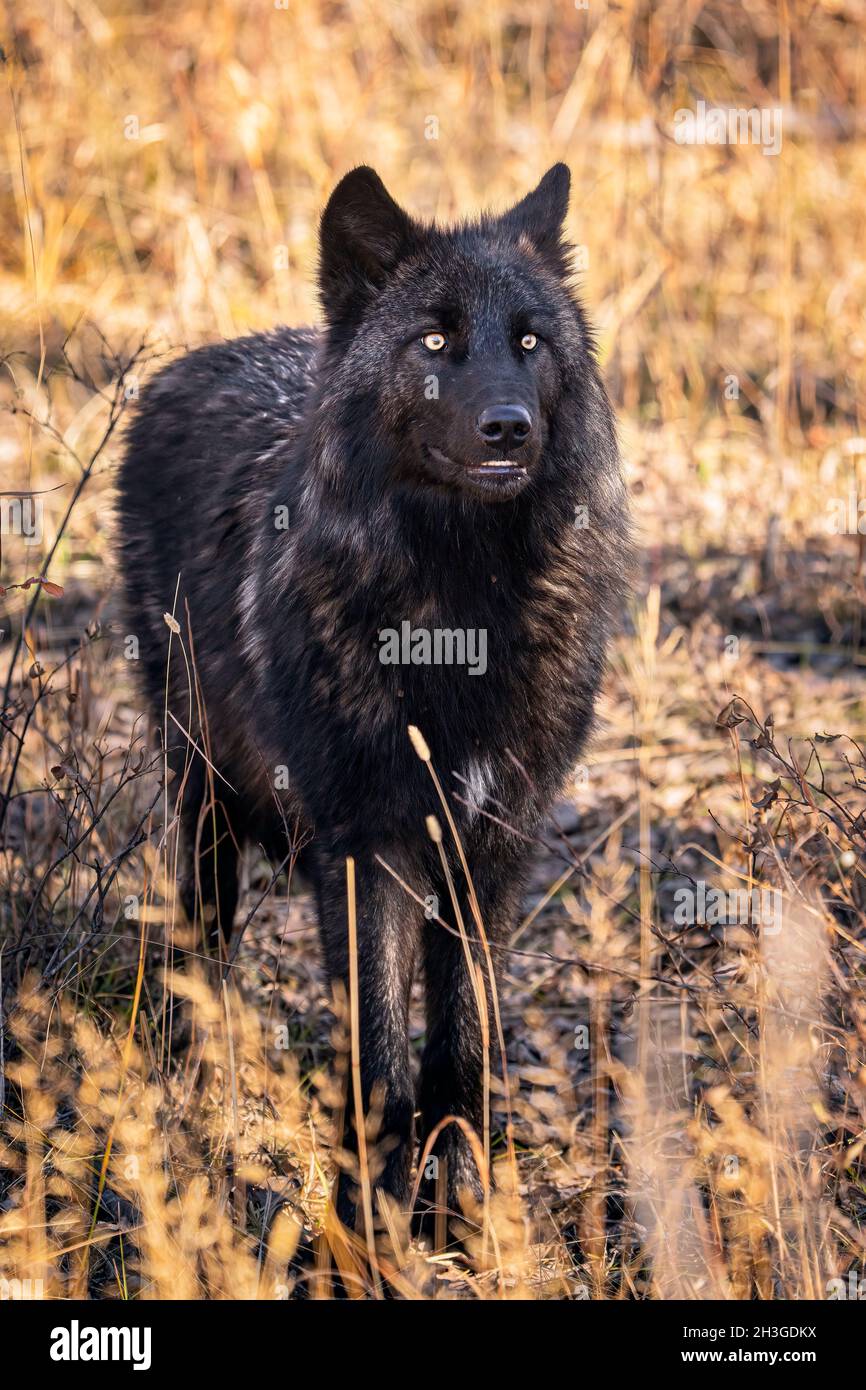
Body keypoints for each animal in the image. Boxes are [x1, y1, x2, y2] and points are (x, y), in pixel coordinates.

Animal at [117, 164, 630, 1227]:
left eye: (530, 341)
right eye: (434, 341)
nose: (508, 426)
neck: (459, 609)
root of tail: (193, 363)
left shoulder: (493, 845)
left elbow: (462, 1046)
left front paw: (461, 1213)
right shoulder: (368, 846)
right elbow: (383, 1055)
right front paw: (373, 1225)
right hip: (202, 797)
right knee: (204, 949)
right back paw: (202, 1094)